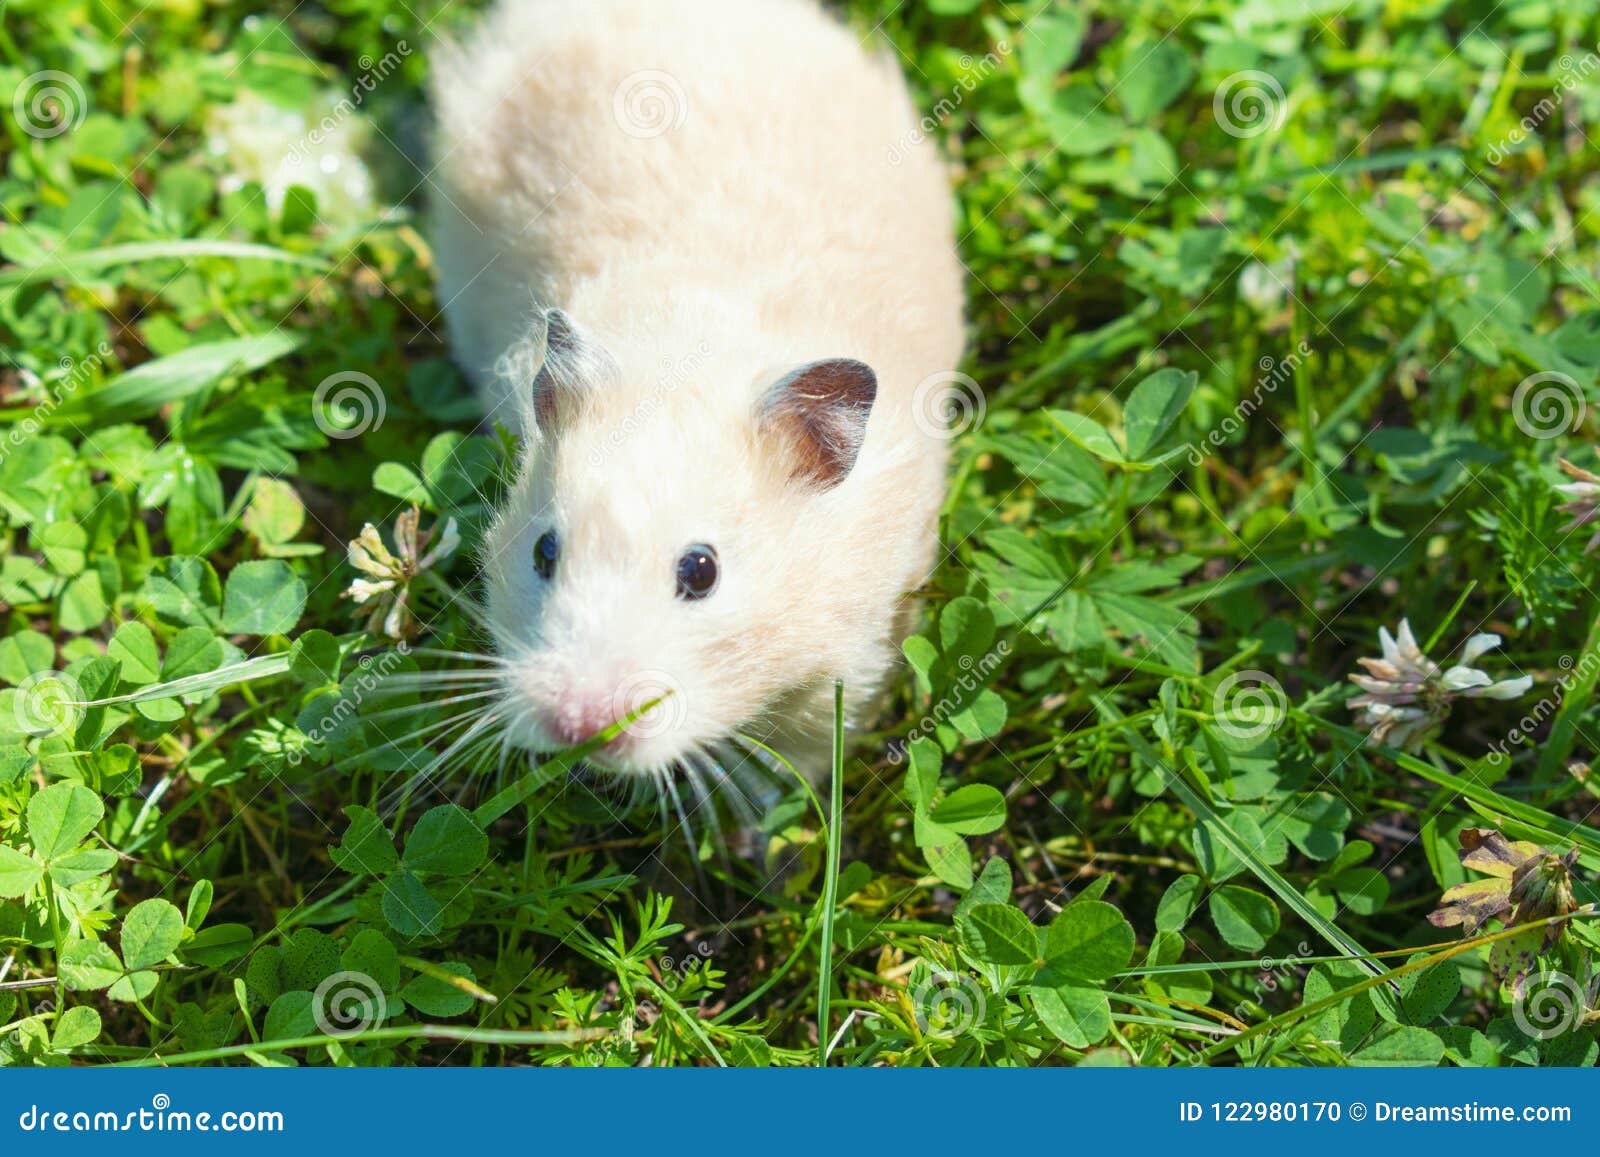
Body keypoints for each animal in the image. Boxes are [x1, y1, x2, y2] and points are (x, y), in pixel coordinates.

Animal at [429, 0, 966, 785]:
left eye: (701, 572)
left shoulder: (853, 655)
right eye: (544, 553)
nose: (580, 726)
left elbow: (805, 753)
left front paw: (770, 817)